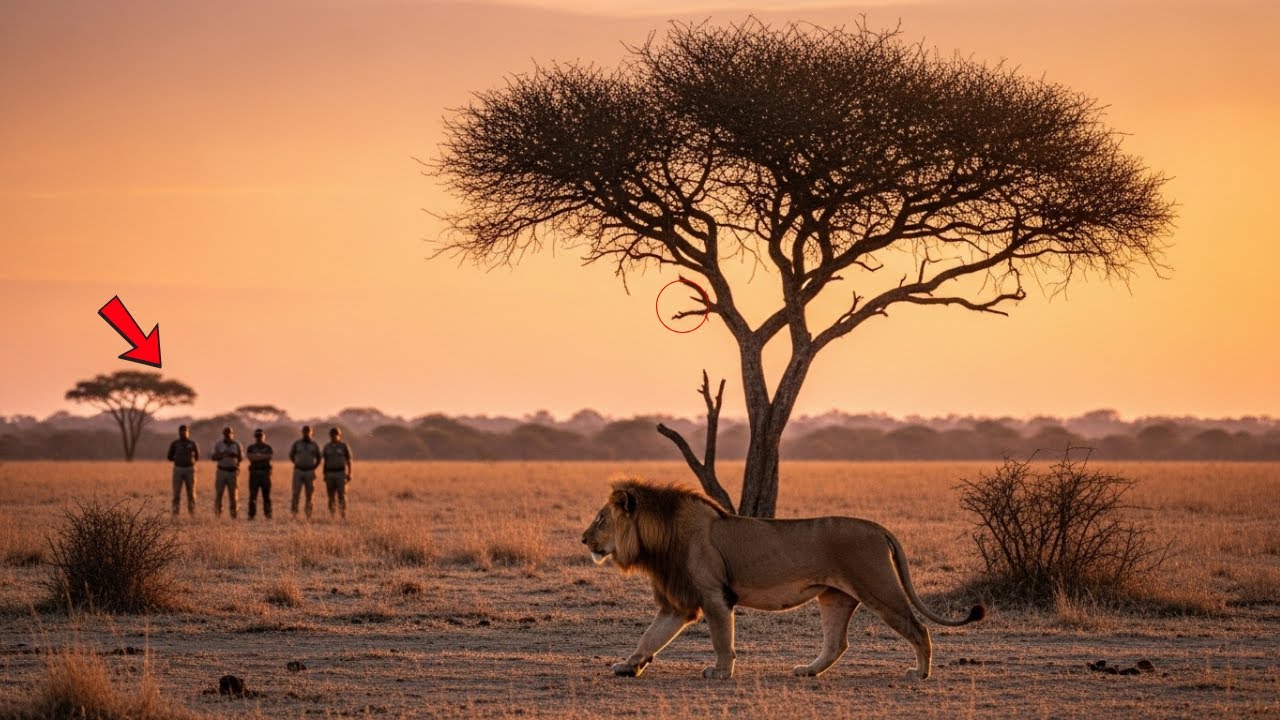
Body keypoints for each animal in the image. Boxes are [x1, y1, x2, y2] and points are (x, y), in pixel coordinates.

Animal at [581, 479, 985, 680]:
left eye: (601, 519)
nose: (583, 539)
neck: (658, 539)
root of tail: (879, 528)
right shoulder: (678, 603)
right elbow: (650, 637)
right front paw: (629, 665)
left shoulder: (713, 596)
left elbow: (721, 639)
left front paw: (721, 672)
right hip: (835, 596)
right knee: (837, 643)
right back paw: (808, 671)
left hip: (879, 588)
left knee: (919, 628)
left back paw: (920, 673)